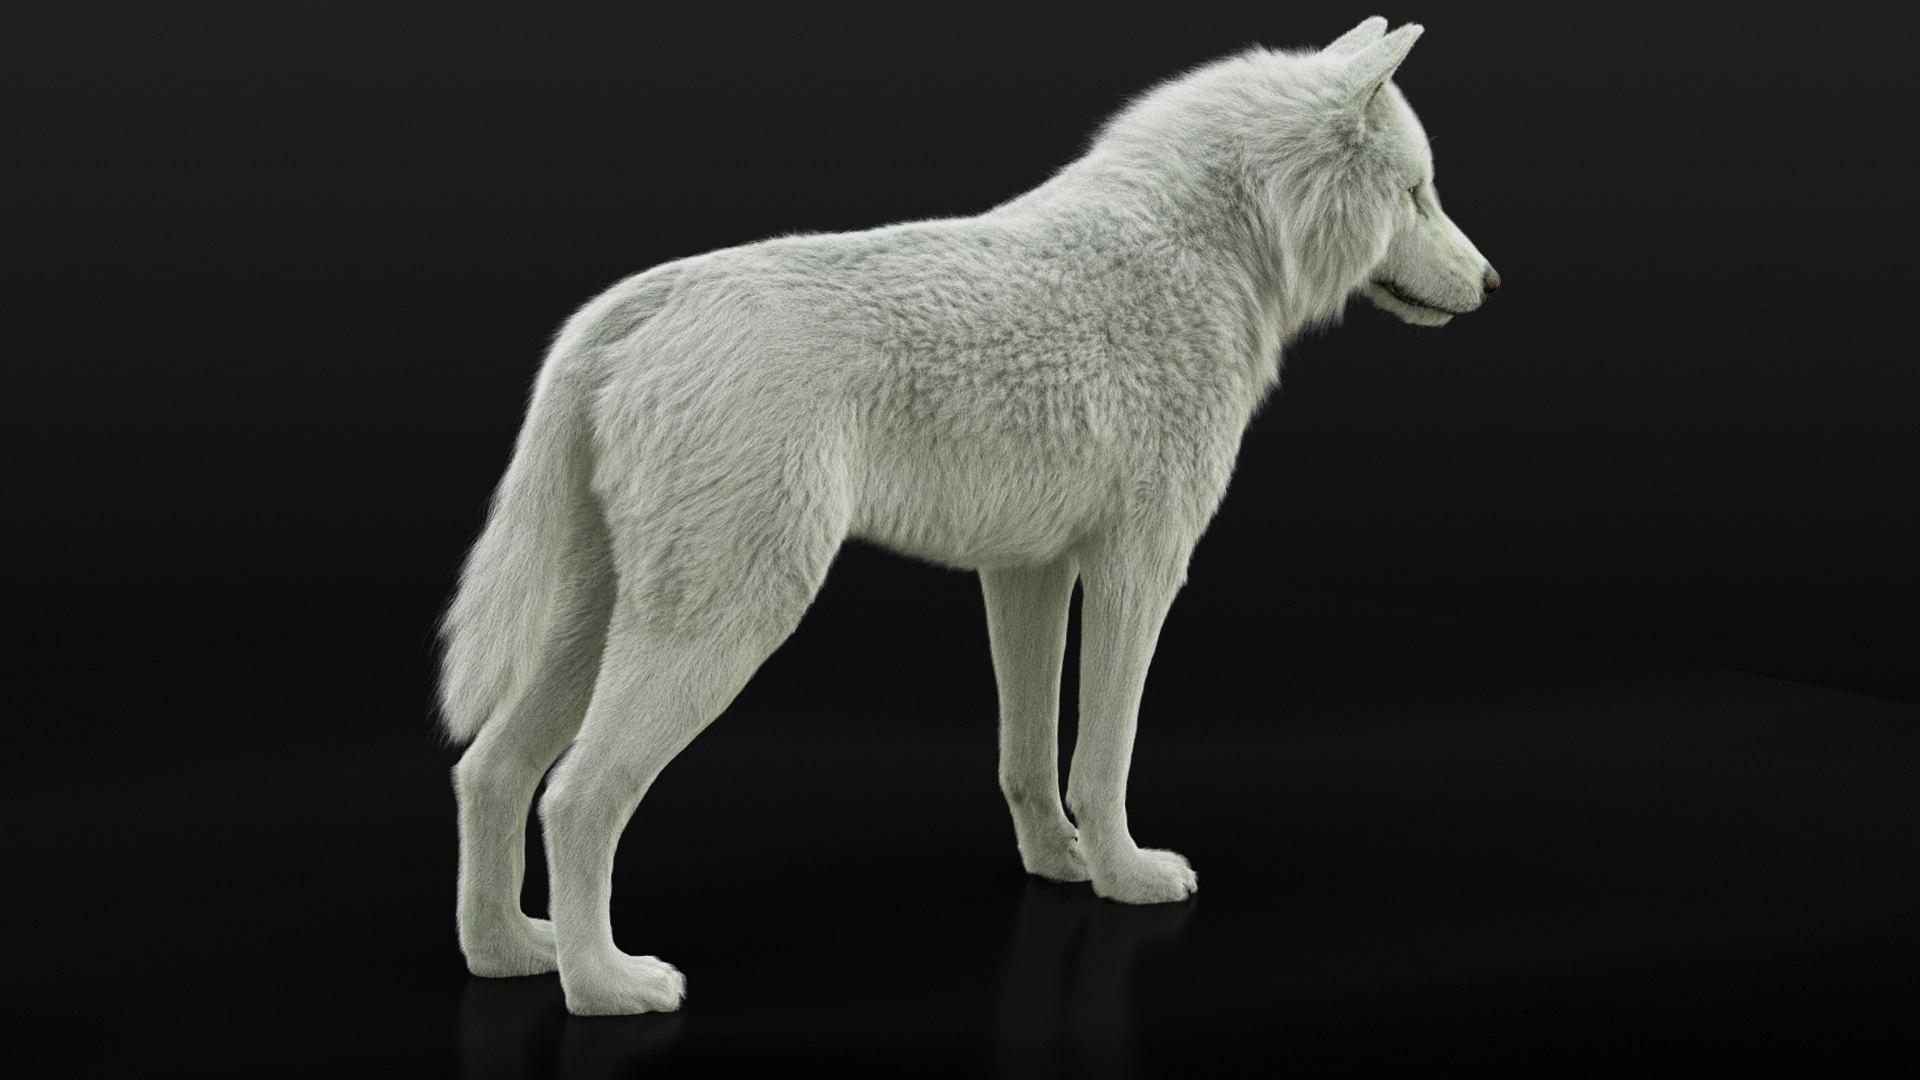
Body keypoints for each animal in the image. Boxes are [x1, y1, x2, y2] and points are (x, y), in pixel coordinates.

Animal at [439, 17, 1498, 1016]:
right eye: (1417, 193)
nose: (1491, 283)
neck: (1207, 249)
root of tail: (629, 311)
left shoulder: (1028, 572)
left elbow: (1028, 756)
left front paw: (1061, 866)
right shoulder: (1140, 567)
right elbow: (1104, 755)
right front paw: (1127, 876)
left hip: (601, 623)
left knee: (490, 771)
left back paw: (512, 954)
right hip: (727, 620)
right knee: (577, 796)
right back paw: (606, 986)